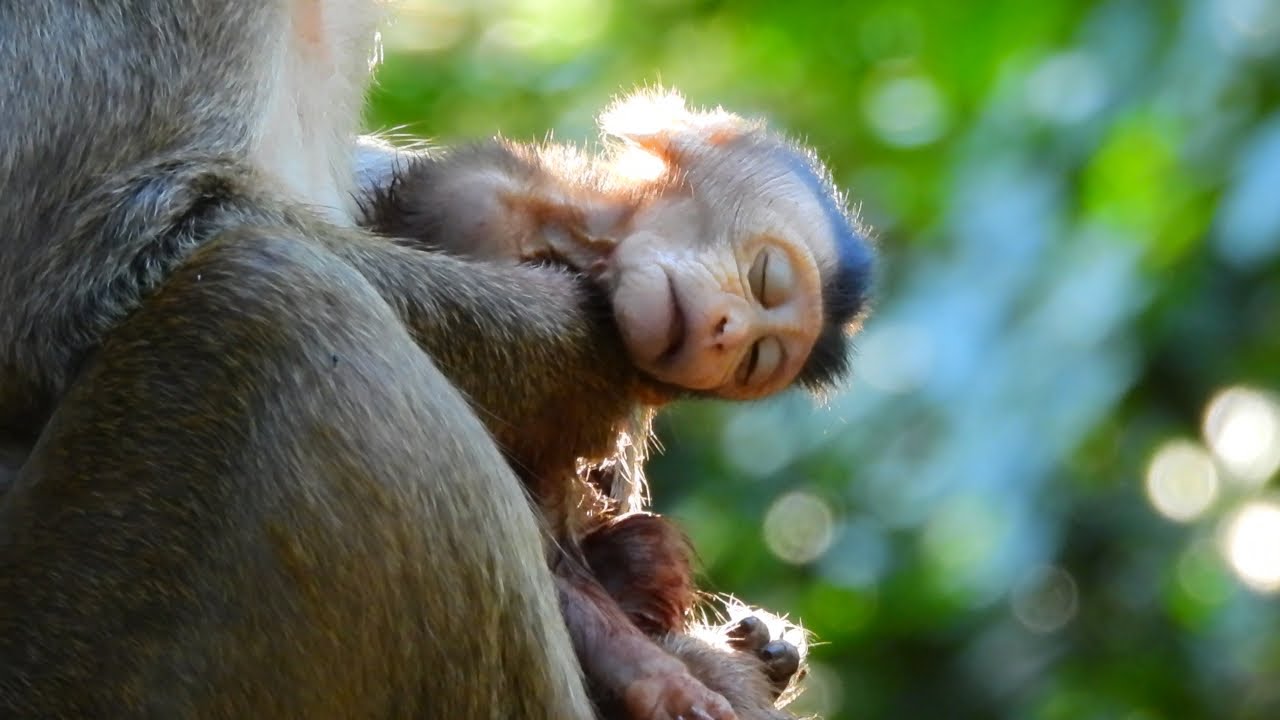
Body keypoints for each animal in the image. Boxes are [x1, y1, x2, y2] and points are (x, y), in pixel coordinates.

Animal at [0, 3, 873, 719]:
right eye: (765, 277)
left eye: (761, 357)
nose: (725, 336)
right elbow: (87, 261)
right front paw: (604, 378)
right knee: (271, 300)